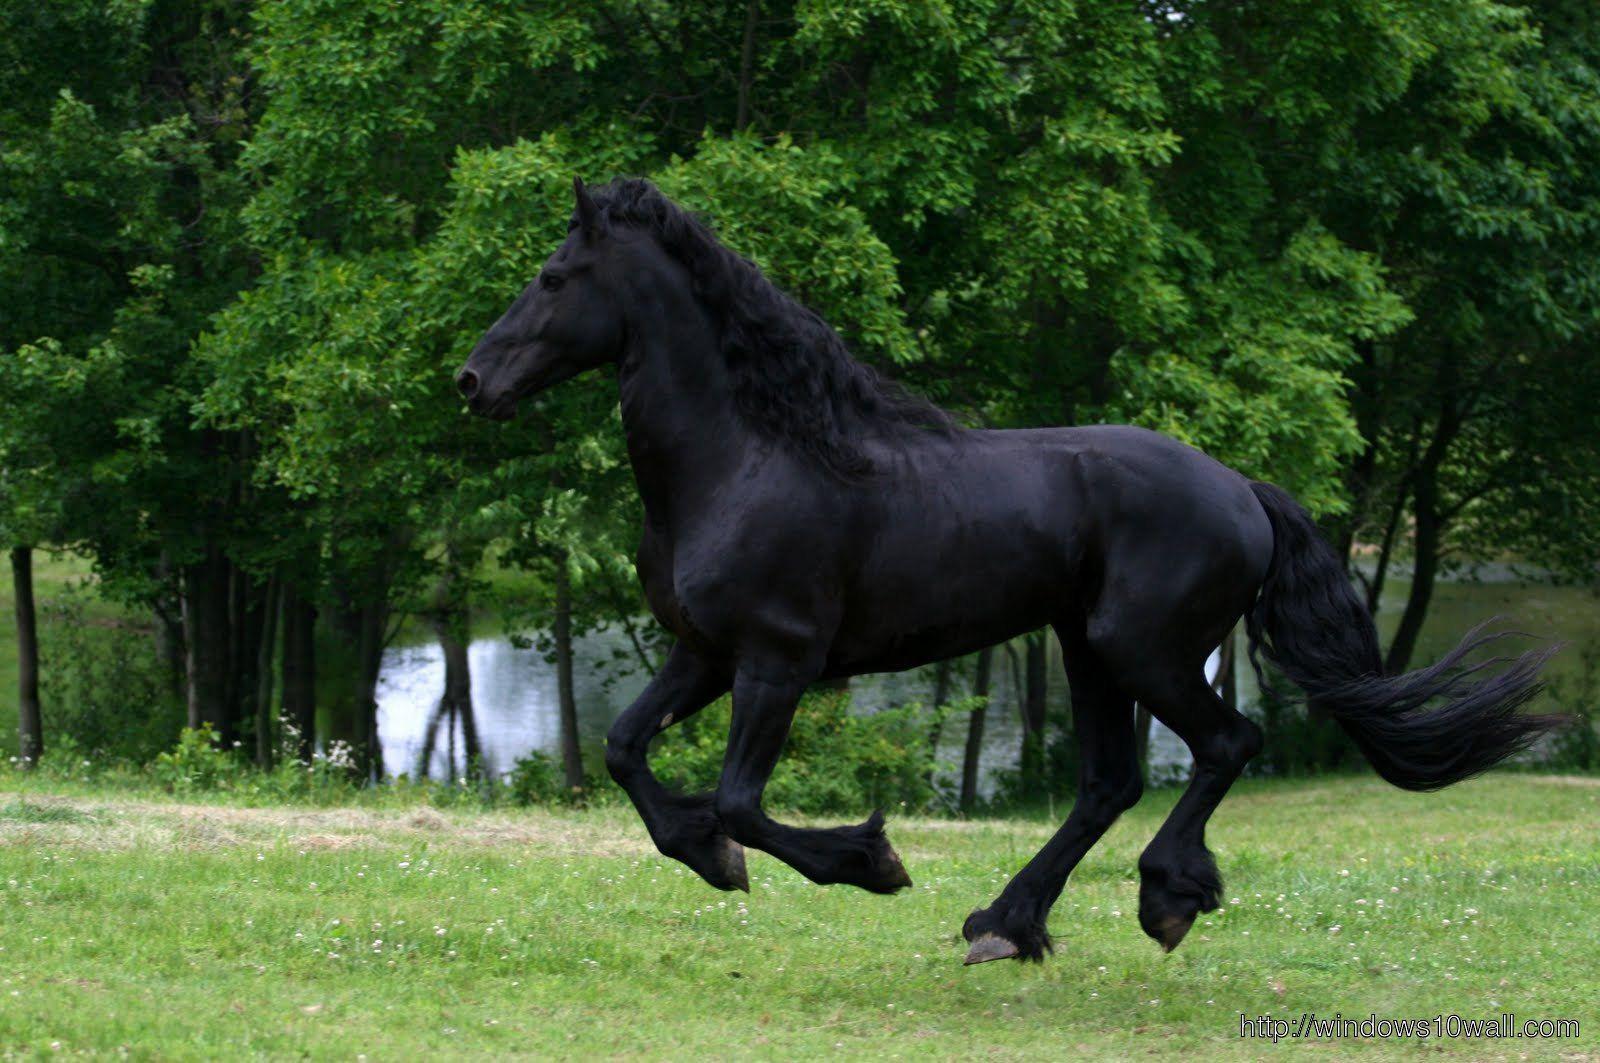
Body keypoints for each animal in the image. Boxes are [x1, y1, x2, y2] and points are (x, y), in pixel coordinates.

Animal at [456, 177, 1562, 965]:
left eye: (552, 277)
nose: (472, 380)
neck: (748, 455)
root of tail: (1242, 489)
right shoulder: (704, 655)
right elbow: (624, 752)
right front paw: (711, 859)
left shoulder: (776, 661)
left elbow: (737, 800)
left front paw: (868, 860)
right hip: (1087, 650)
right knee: (1111, 780)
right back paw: (1007, 920)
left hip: (1143, 649)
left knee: (1225, 742)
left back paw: (1165, 895)